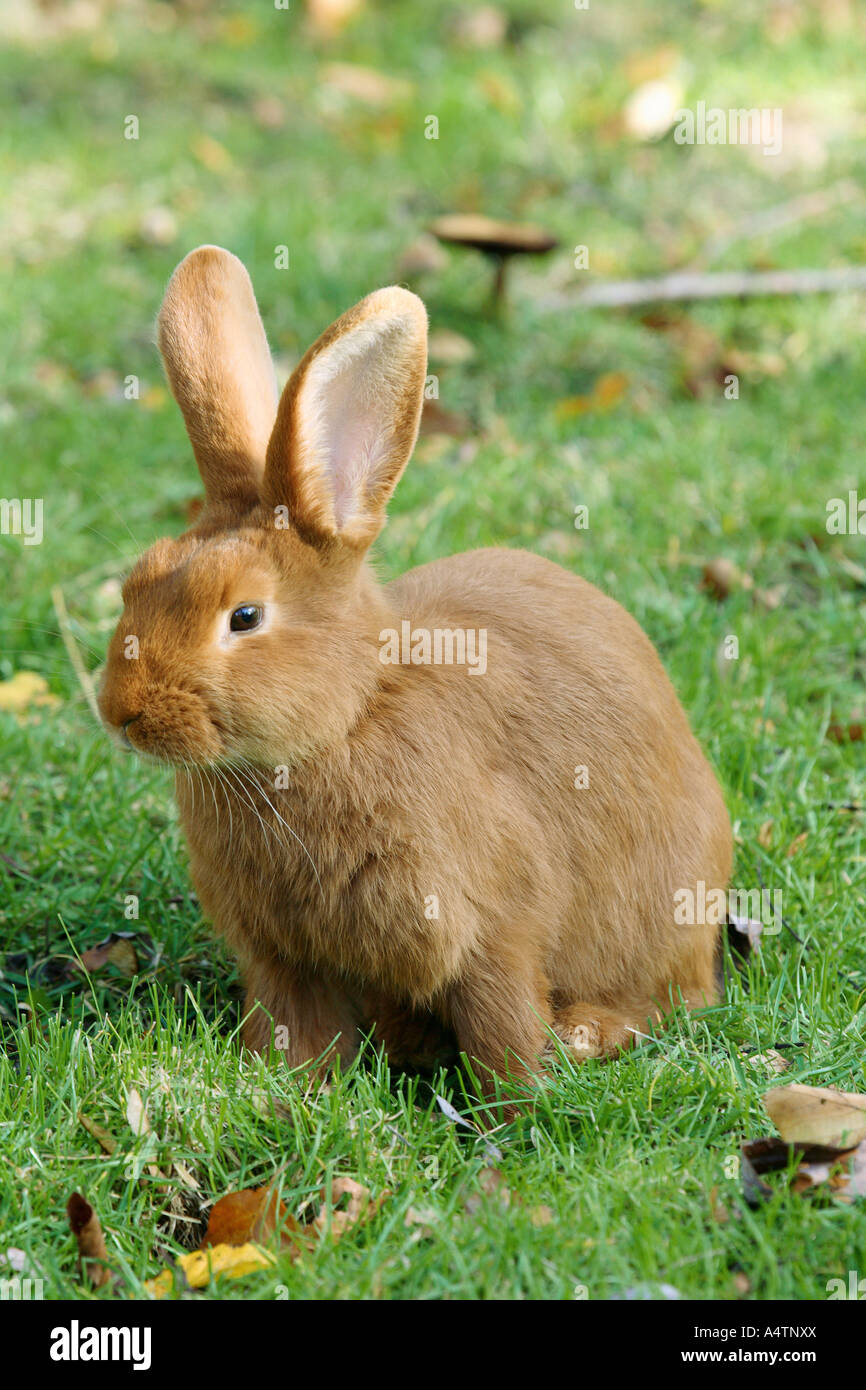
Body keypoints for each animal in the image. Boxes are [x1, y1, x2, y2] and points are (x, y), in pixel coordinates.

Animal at [98, 245, 732, 1092]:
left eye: (244, 617)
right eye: (137, 581)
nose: (120, 712)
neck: (345, 722)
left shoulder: (492, 928)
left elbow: (502, 1025)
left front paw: (515, 1106)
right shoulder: (282, 959)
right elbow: (292, 1028)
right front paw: (291, 1090)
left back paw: (587, 1035)